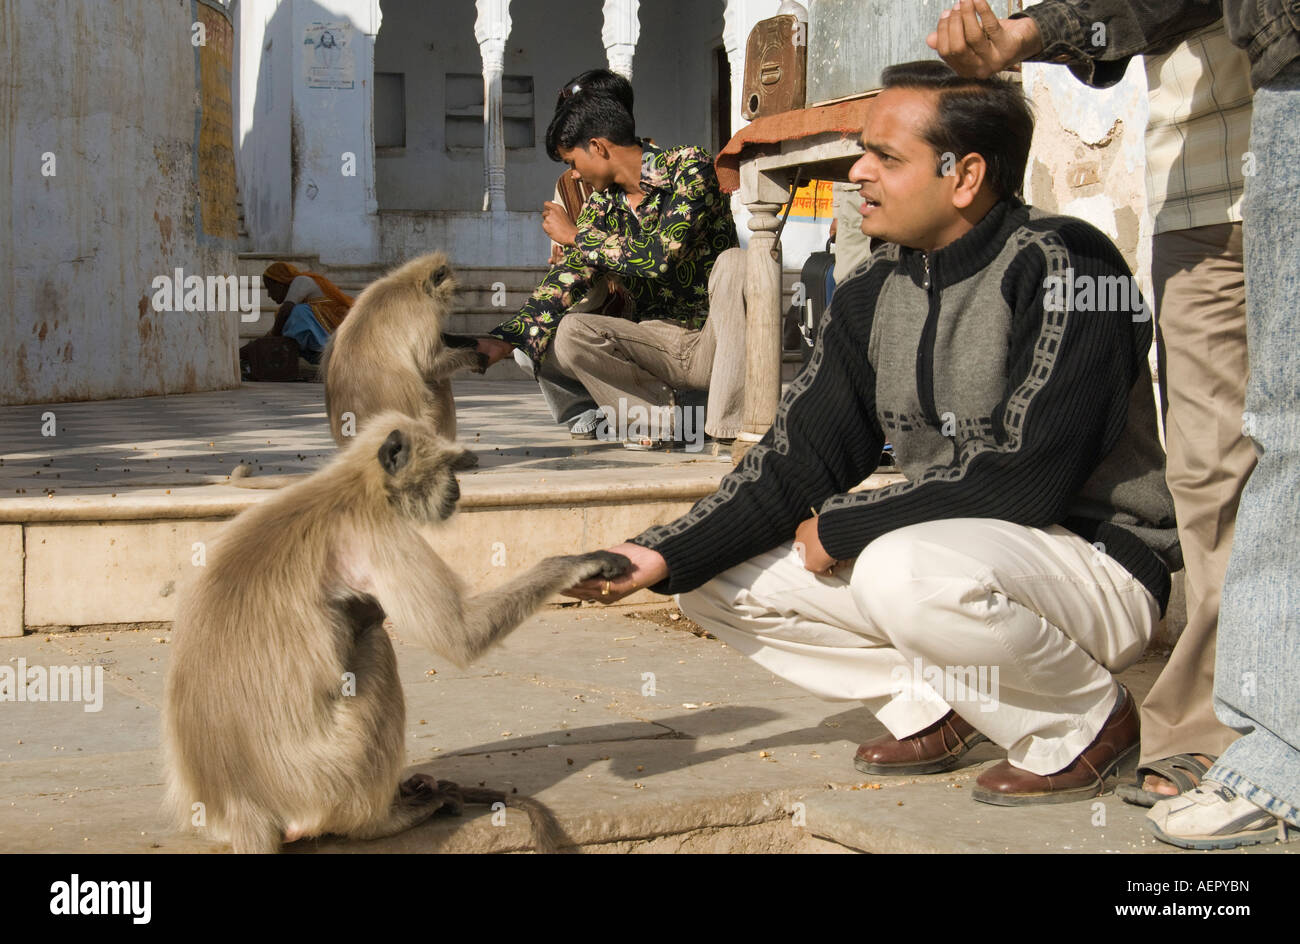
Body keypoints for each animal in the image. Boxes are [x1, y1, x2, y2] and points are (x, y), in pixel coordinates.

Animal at [162, 410, 630, 853]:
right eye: (449, 468)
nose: (458, 487)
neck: (350, 486)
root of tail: (243, 804)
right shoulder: (380, 533)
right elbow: (459, 636)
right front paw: (580, 563)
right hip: (336, 776)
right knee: (375, 641)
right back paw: (386, 819)